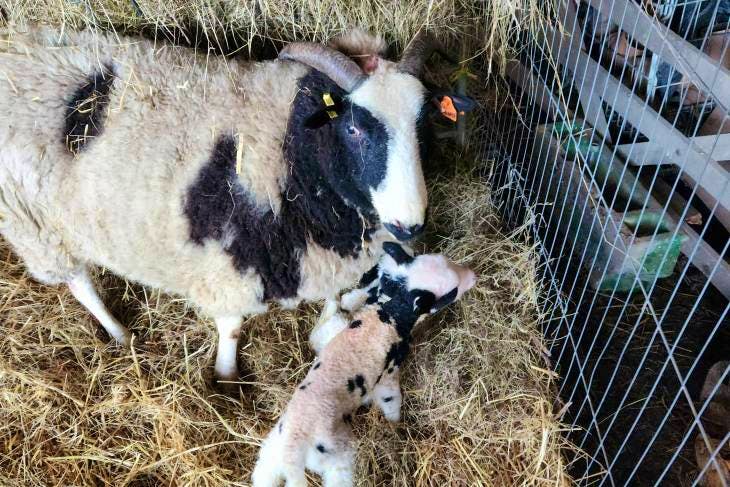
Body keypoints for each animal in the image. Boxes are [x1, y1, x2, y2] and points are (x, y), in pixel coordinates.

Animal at [0, 25, 466, 382]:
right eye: (353, 129)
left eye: (424, 123)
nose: (410, 225)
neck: (290, 145)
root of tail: (18, 45)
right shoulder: (226, 263)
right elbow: (232, 328)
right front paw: (225, 380)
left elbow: (333, 301)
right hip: (35, 224)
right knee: (78, 281)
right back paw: (120, 334)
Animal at [251, 242, 477, 487]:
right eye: (452, 291)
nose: (473, 276)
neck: (390, 315)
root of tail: (294, 448)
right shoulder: (388, 375)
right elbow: (391, 400)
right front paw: (395, 424)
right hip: (338, 456)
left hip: (272, 449)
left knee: (263, 473)